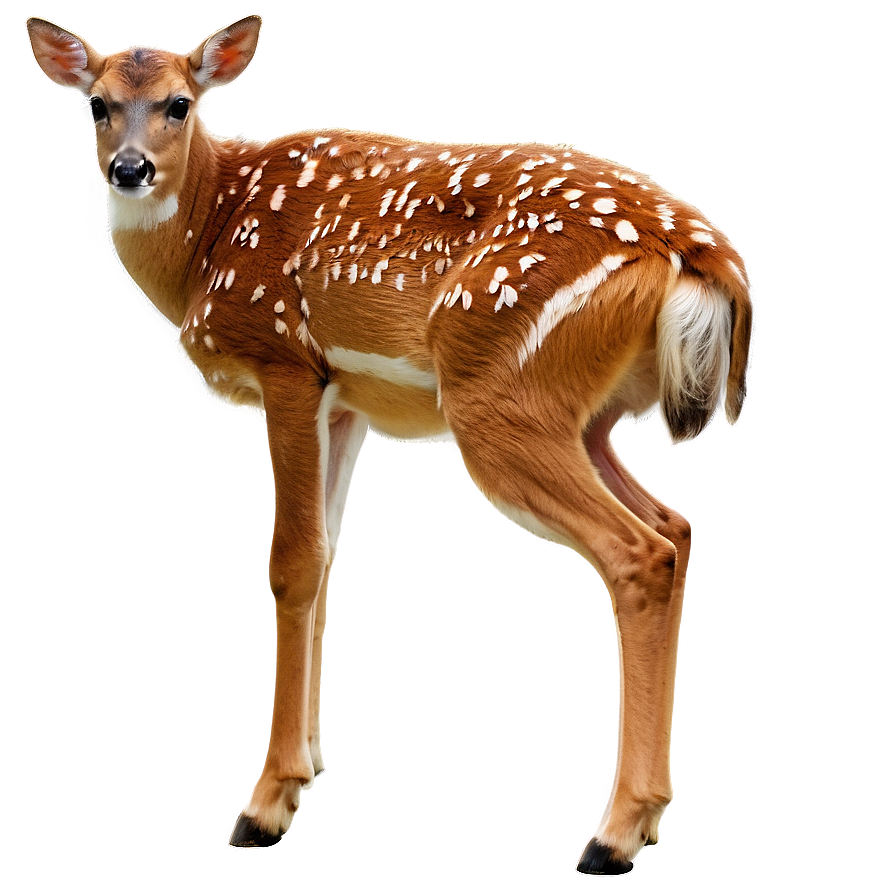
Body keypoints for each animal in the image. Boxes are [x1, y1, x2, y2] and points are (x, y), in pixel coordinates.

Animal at [26, 13, 754, 875]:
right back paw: (654, 815)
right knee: (676, 525)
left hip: (498, 396)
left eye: (179, 102)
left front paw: (267, 804)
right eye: (96, 104)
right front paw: (310, 764)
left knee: (640, 552)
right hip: (588, 415)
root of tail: (708, 256)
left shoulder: (285, 362)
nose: (129, 168)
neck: (208, 241)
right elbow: (328, 553)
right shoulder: (345, 399)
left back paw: (612, 835)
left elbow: (291, 563)